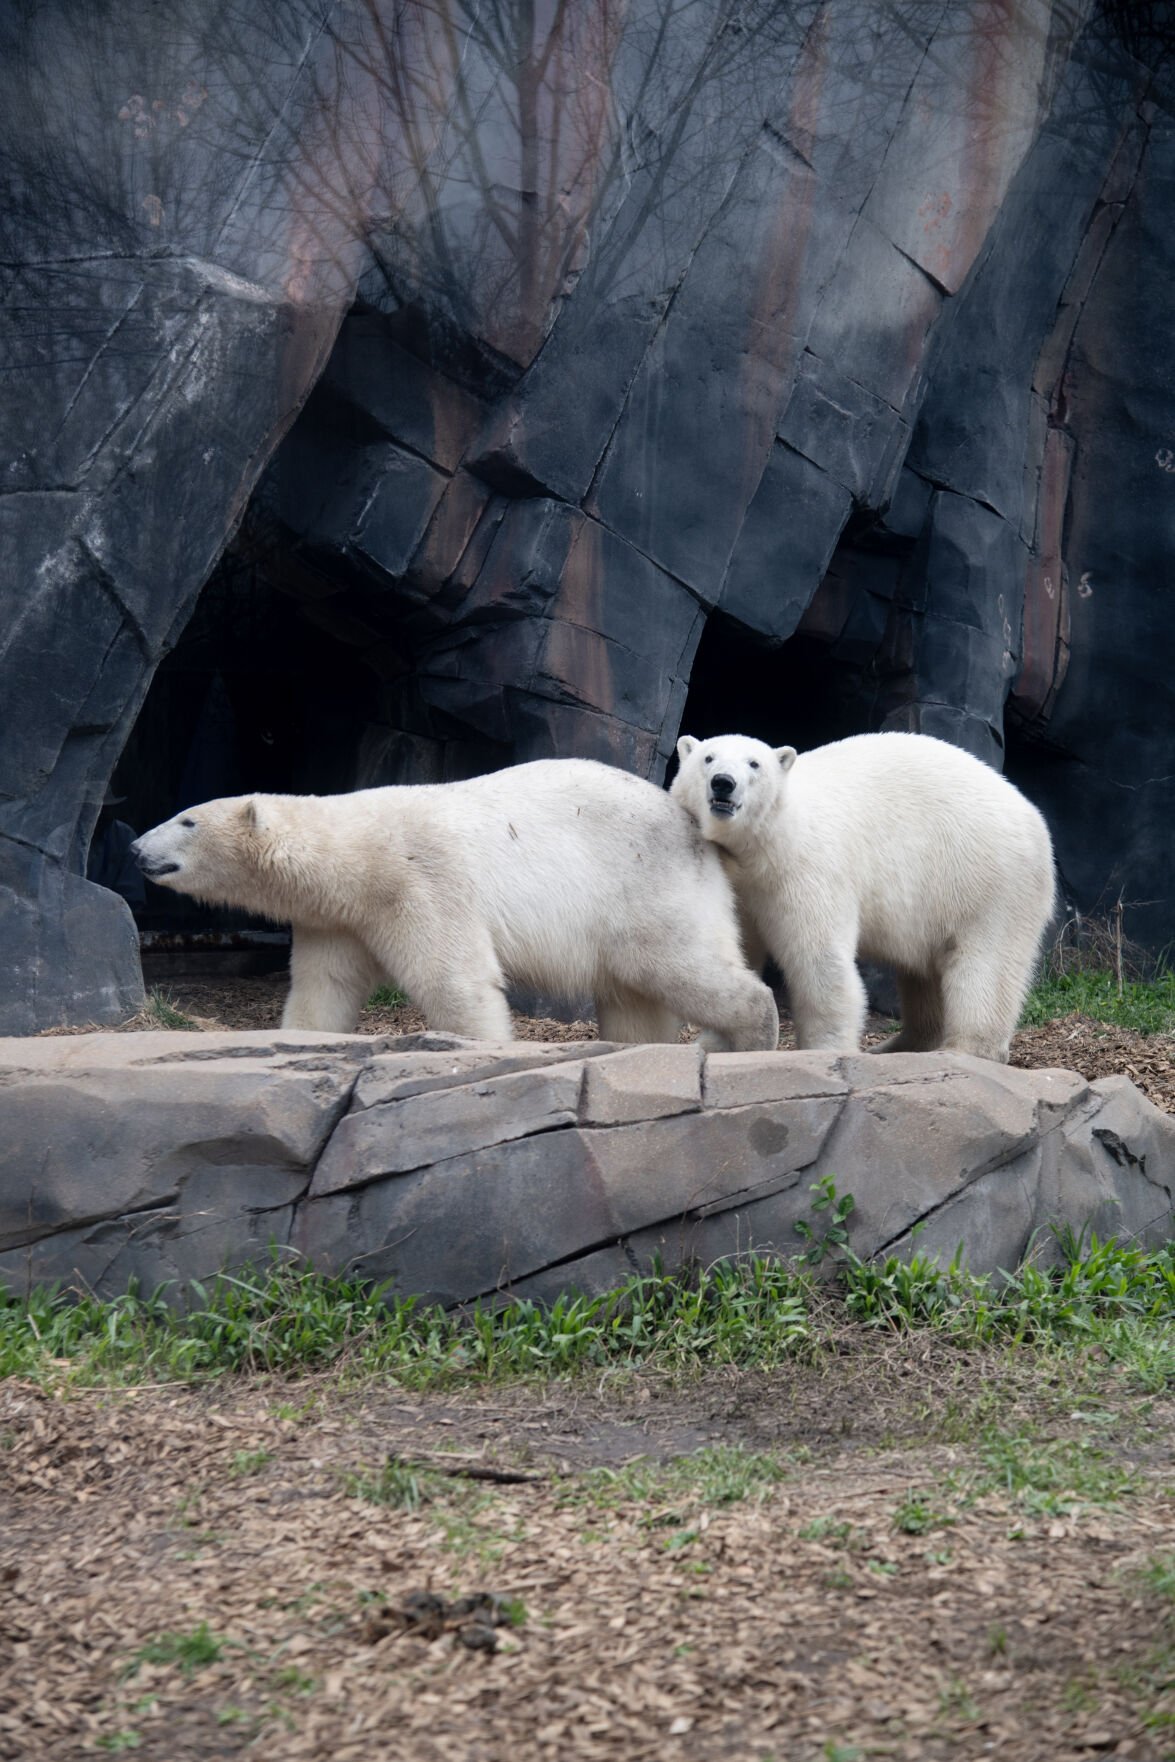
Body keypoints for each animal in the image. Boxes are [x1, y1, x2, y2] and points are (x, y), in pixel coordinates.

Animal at [131, 758, 779, 1049]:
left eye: (187, 820)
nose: (136, 848)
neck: (358, 850)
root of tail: (699, 835)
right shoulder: (340, 919)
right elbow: (323, 988)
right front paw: (302, 1036)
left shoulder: (420, 878)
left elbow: (454, 980)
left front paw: (485, 1047)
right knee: (634, 996)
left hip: (644, 886)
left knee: (676, 963)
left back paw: (755, 1031)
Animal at [670, 730, 1056, 1064]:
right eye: (708, 758)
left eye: (754, 764)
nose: (723, 782)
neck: (764, 847)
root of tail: (1035, 819)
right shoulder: (737, 883)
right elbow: (736, 952)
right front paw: (714, 1042)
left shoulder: (806, 870)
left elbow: (820, 960)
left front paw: (824, 1049)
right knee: (925, 977)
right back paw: (898, 1044)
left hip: (987, 881)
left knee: (985, 966)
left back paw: (964, 1049)